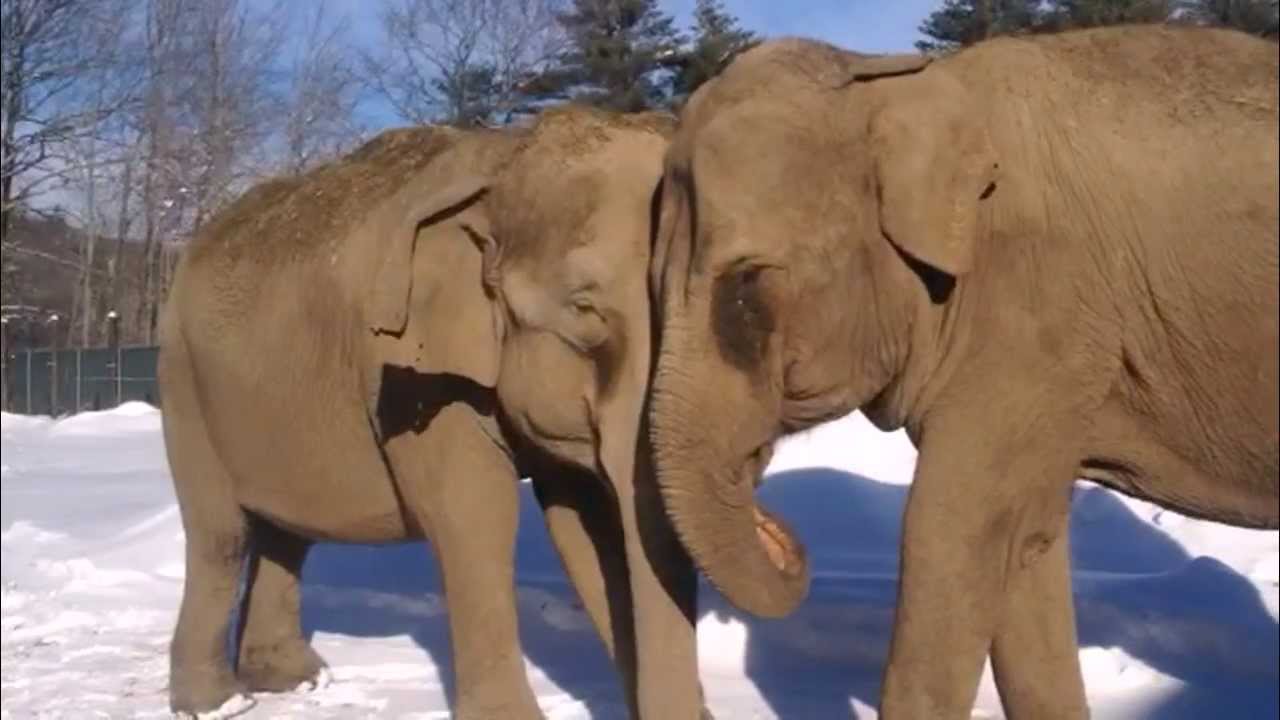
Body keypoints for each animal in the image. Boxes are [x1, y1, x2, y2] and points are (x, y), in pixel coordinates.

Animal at [157, 106, 703, 719]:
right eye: (583, 308)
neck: (506, 158)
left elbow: (581, 524)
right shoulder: (404, 366)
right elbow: (474, 508)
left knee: (286, 534)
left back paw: (295, 682)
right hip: (185, 381)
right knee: (221, 536)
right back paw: (218, 704)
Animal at [645, 24, 1278, 720]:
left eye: (748, 288)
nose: (780, 533)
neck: (896, 83)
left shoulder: (1033, 308)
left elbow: (946, 533)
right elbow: (1025, 545)